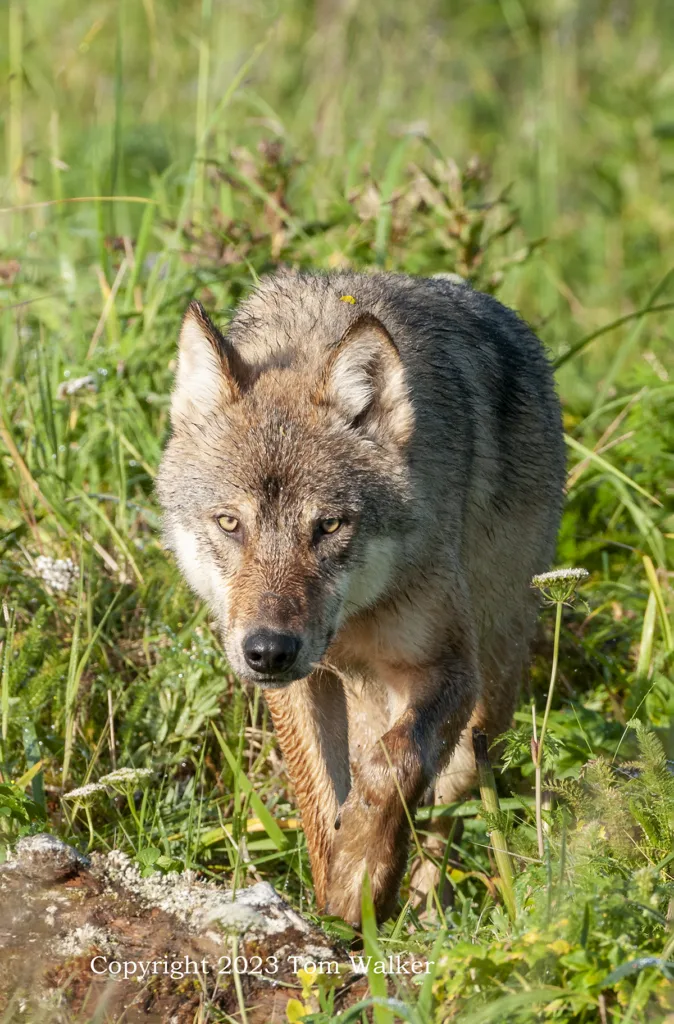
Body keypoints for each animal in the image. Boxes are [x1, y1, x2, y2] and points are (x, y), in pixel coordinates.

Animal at [157, 271, 565, 926]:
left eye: (327, 526)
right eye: (229, 523)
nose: (267, 651)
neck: (353, 624)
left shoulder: (449, 669)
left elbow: (394, 765)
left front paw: (363, 879)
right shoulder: (301, 687)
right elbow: (322, 800)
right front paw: (337, 904)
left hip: (488, 702)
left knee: (449, 798)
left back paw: (427, 912)